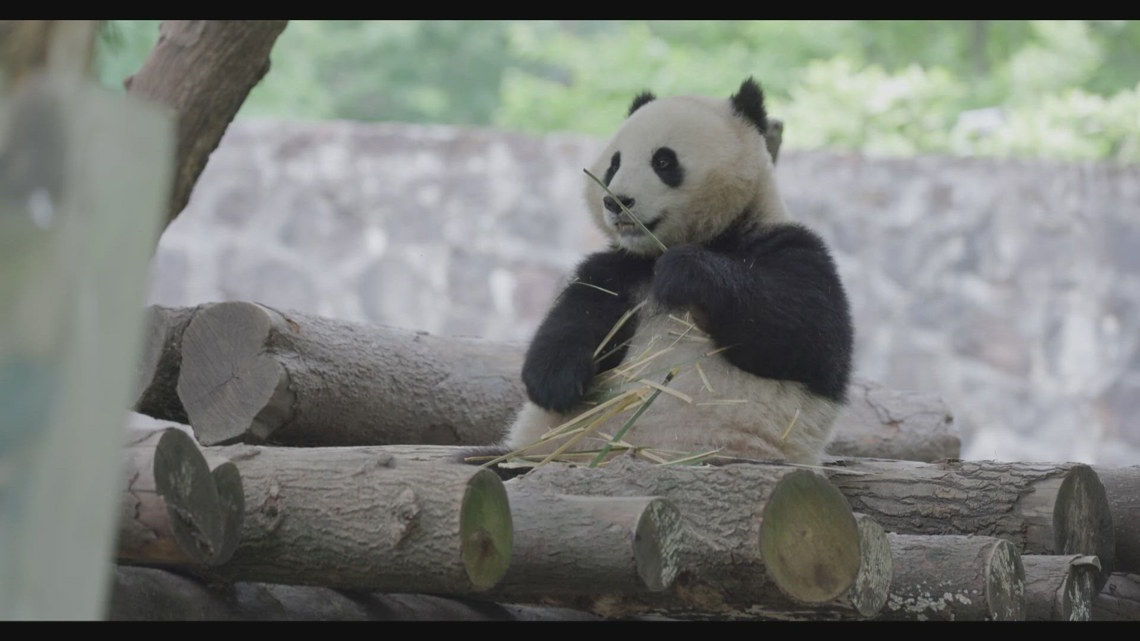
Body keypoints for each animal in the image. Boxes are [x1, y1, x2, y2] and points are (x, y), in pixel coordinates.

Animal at [502, 76, 853, 466]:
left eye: (663, 160)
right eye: (614, 164)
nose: (616, 201)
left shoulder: (793, 249)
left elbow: (800, 335)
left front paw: (686, 272)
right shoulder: (619, 269)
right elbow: (576, 315)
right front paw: (555, 382)